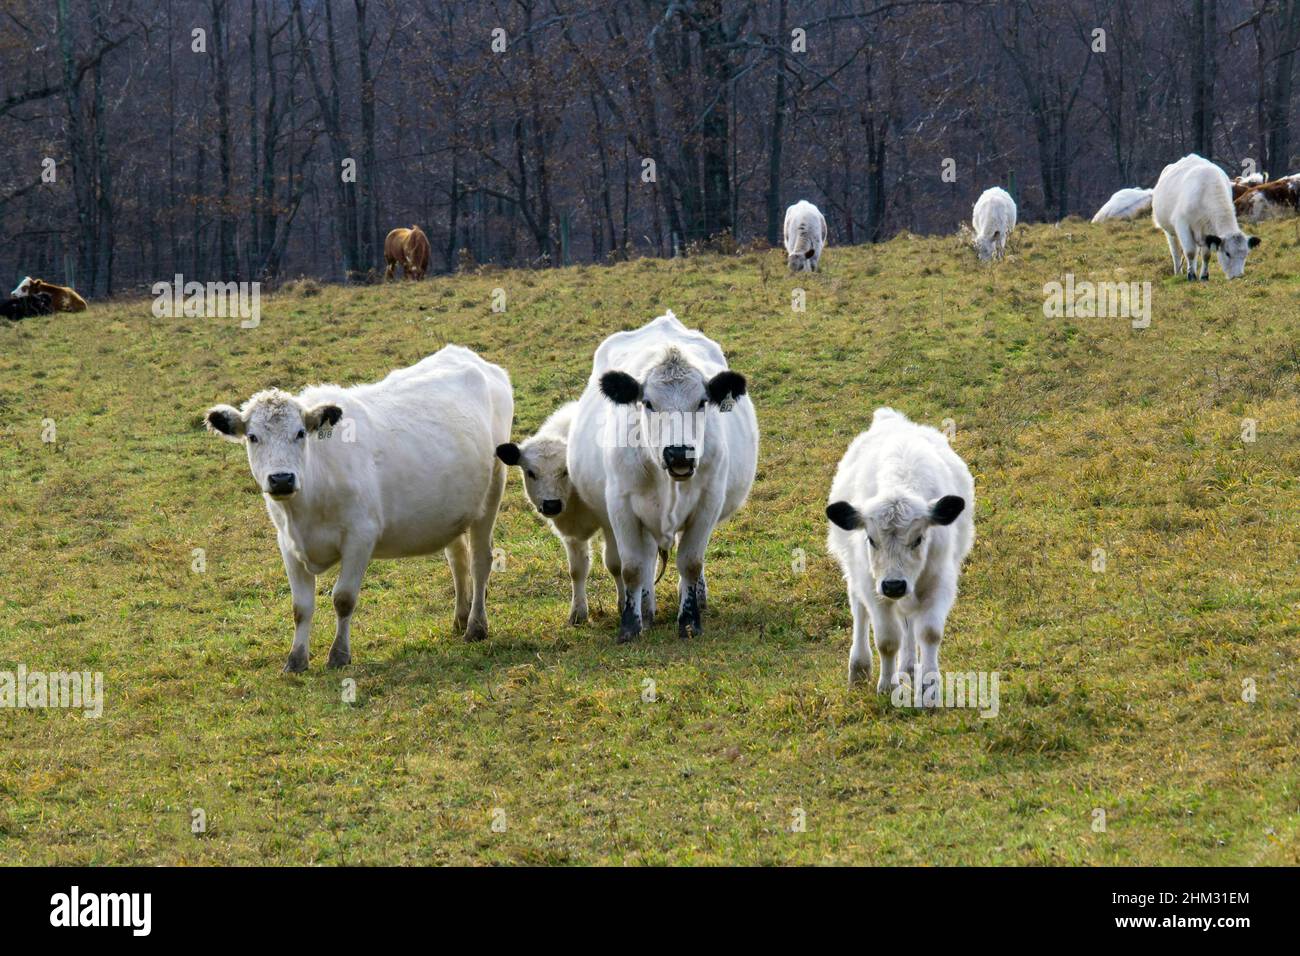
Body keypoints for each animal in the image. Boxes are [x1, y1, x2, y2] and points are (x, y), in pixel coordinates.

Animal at [204, 345, 513, 671]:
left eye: (300, 433)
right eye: (253, 437)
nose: (281, 478)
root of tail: (466, 354)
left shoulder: (360, 537)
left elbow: (343, 598)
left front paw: (339, 654)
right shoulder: (287, 543)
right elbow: (301, 607)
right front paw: (296, 659)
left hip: (492, 492)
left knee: (480, 560)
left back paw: (476, 626)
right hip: (453, 510)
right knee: (458, 559)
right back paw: (460, 618)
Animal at [495, 401, 607, 625]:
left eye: (565, 470)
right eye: (530, 472)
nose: (551, 505)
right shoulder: (571, 535)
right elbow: (577, 570)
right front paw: (578, 612)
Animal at [569, 310, 758, 643]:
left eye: (702, 402)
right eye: (648, 403)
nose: (679, 453)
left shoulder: (707, 503)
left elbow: (691, 563)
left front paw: (689, 621)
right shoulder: (622, 508)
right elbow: (632, 567)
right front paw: (631, 625)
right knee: (645, 561)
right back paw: (646, 609)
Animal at [826, 408, 975, 696]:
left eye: (918, 539)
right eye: (871, 539)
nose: (894, 585)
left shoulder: (940, 581)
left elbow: (929, 632)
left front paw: (930, 688)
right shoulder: (874, 587)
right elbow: (887, 640)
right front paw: (887, 686)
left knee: (908, 623)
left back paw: (909, 669)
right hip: (857, 574)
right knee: (860, 611)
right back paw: (860, 667)